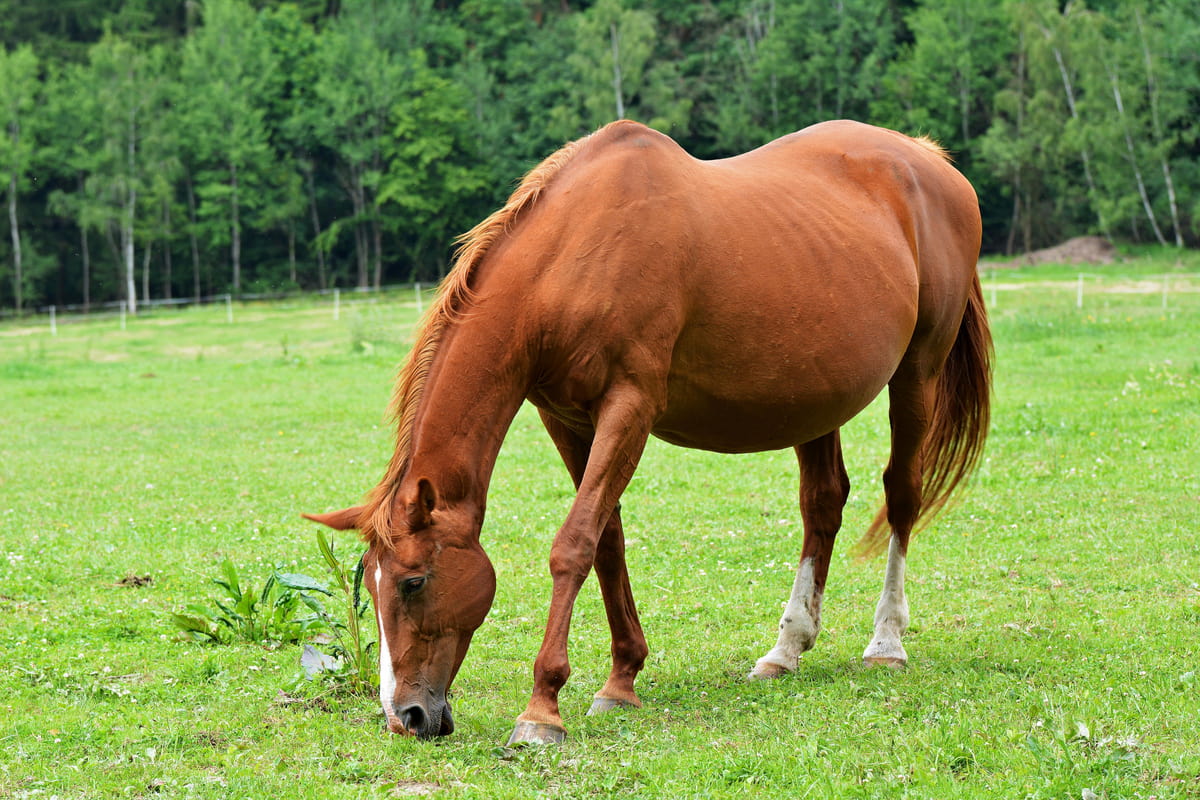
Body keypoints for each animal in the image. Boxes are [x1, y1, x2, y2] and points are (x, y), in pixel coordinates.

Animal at [304, 118, 992, 746]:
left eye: (414, 581)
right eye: (370, 583)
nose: (405, 717)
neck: (573, 257)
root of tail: (928, 161)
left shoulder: (629, 406)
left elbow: (574, 543)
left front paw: (542, 709)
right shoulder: (565, 417)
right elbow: (607, 539)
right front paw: (621, 680)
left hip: (917, 375)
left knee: (902, 494)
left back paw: (886, 641)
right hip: (815, 398)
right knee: (823, 505)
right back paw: (787, 649)